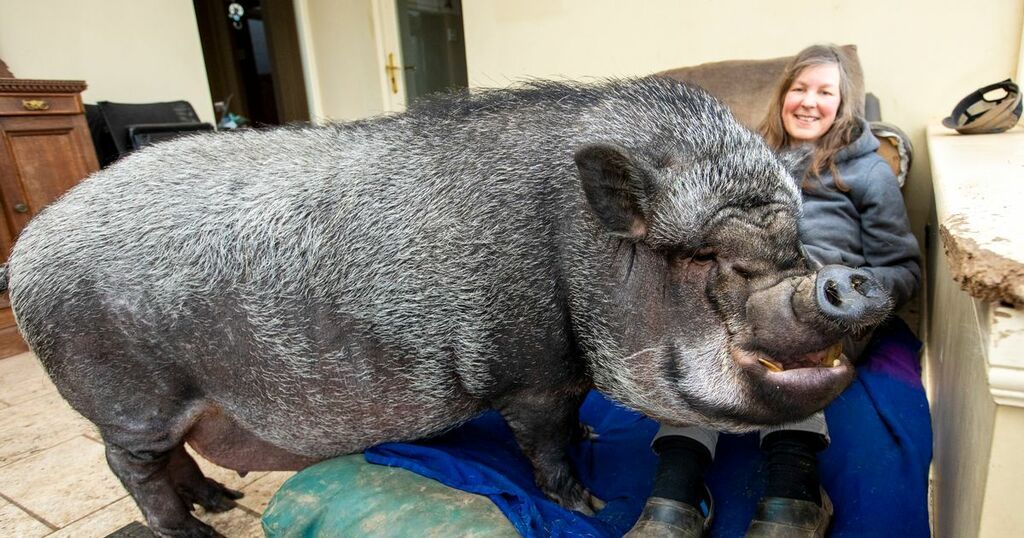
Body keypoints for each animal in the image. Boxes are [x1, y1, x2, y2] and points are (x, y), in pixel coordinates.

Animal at [2, 76, 889, 537]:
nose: (848, 281)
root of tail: (27, 250)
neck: (576, 247)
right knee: (130, 467)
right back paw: (197, 530)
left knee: (172, 460)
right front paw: (592, 502)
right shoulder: (531, 375)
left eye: (794, 241)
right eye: (702, 256)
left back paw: (220, 502)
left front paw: (596, 439)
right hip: (128, 395)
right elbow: (544, 444)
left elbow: (574, 424)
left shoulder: (563, 376)